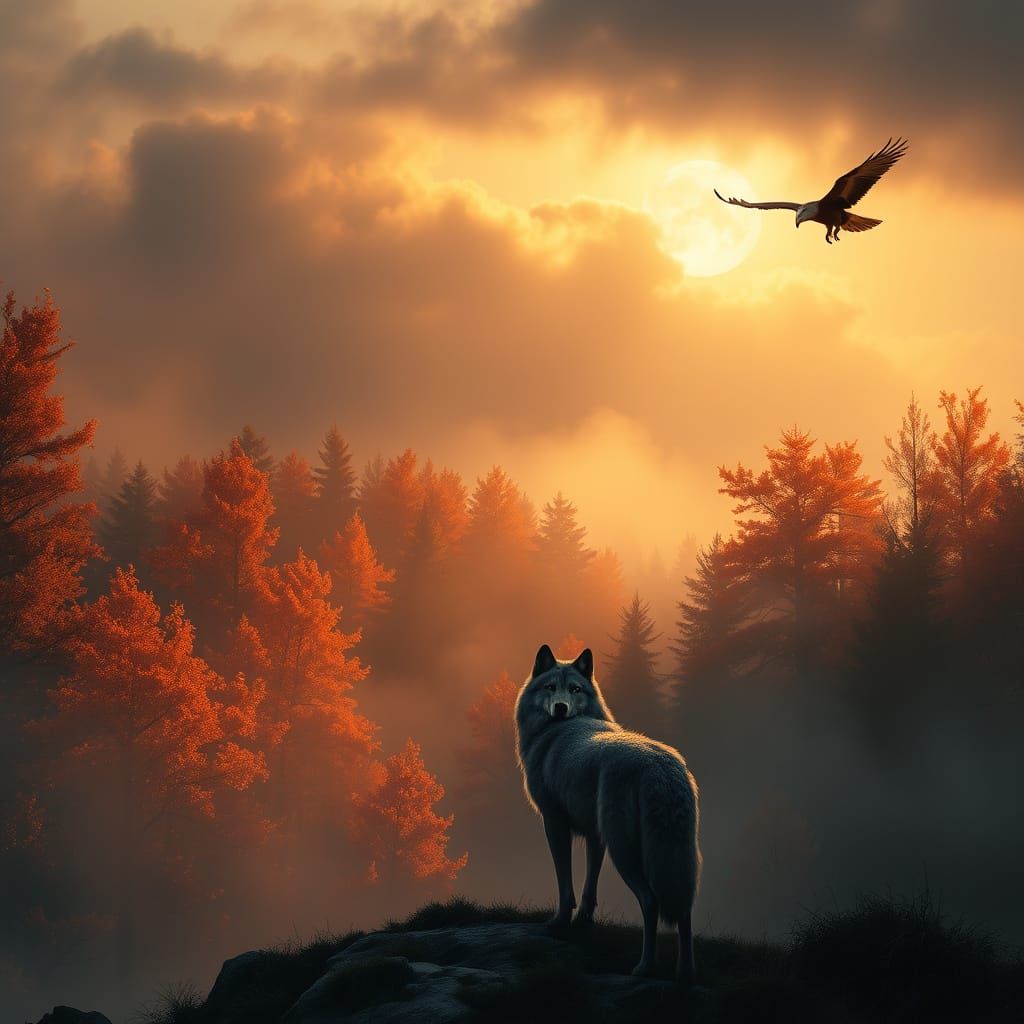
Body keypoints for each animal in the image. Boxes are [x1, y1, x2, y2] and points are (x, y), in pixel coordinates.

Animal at [515, 644, 701, 985]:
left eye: (574, 689)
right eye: (551, 687)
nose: (560, 708)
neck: (555, 730)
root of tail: (659, 769)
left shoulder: (554, 823)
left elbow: (565, 882)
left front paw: (560, 922)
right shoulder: (594, 834)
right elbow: (590, 882)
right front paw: (584, 920)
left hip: (624, 852)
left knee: (651, 902)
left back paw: (645, 967)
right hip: (674, 859)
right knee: (683, 908)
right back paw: (684, 974)